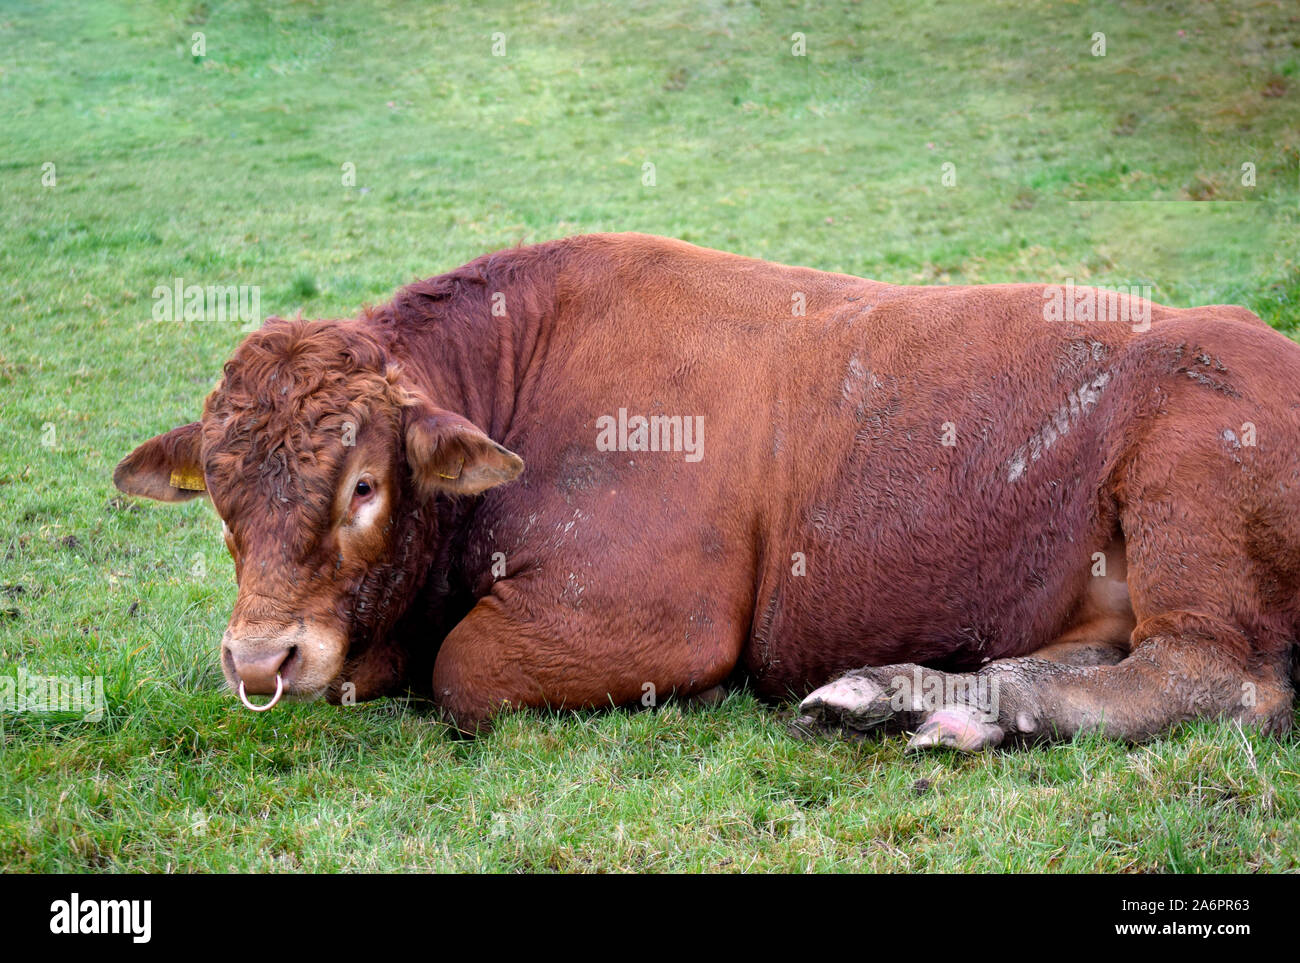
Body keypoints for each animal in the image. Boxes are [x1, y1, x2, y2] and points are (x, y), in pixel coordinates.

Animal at [114, 232, 1300, 750]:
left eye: (364, 484)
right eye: (220, 498)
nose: (261, 659)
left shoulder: (649, 618)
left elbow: (463, 674)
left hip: (1188, 491)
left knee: (1213, 677)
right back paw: (915, 699)